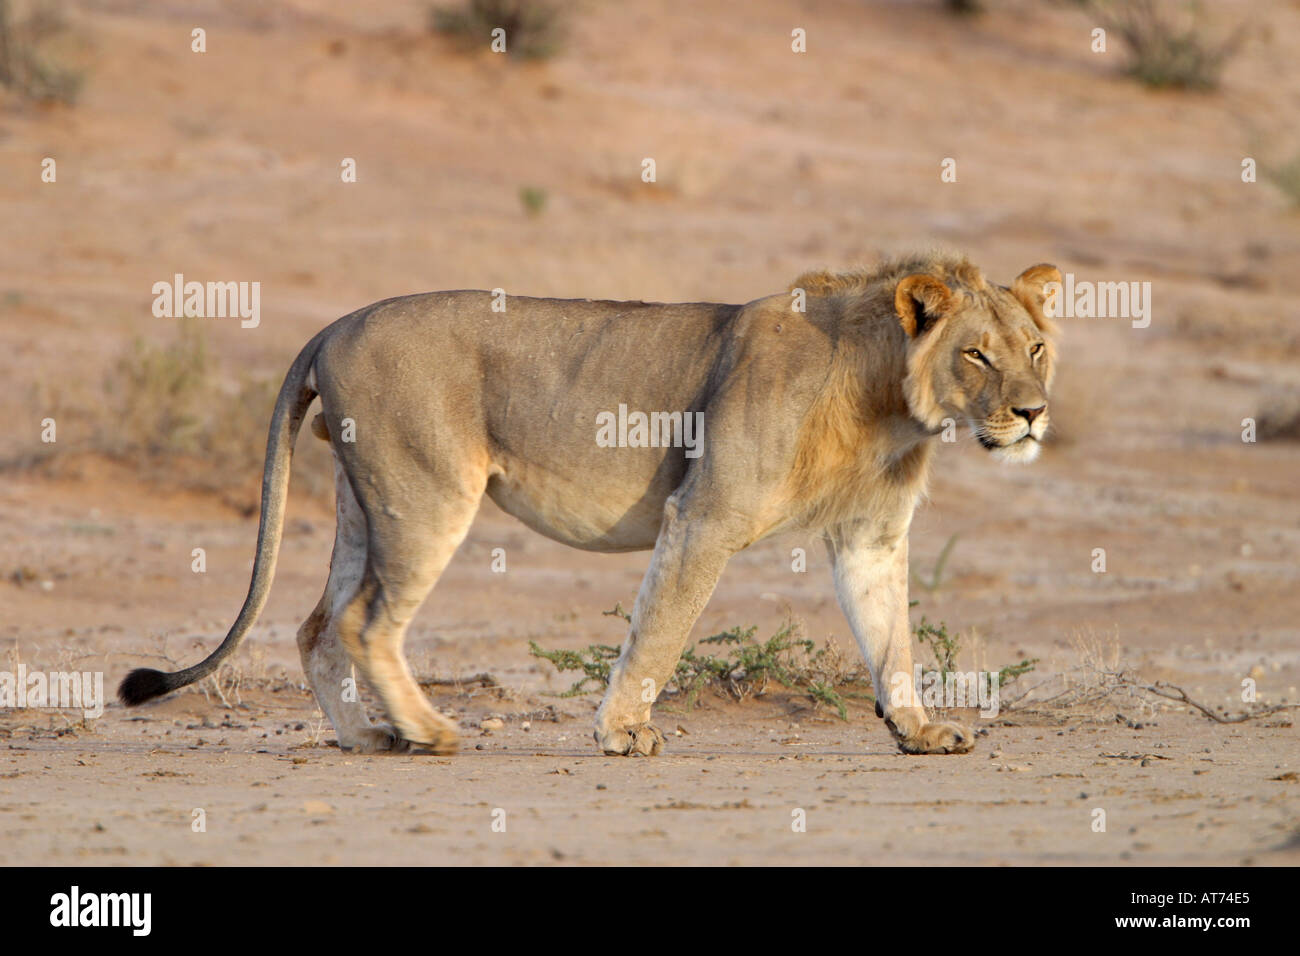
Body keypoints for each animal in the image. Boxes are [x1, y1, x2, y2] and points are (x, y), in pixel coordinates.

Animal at [119, 251, 1060, 757]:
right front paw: (623, 732)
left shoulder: (870, 535)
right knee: (365, 621)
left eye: (1036, 348)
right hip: (428, 492)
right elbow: (662, 630)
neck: (886, 404)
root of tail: (335, 323)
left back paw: (366, 737)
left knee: (317, 625)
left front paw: (918, 731)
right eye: (977, 355)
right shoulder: (704, 514)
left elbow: (890, 637)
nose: (1032, 414)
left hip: (365, 502)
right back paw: (428, 730)